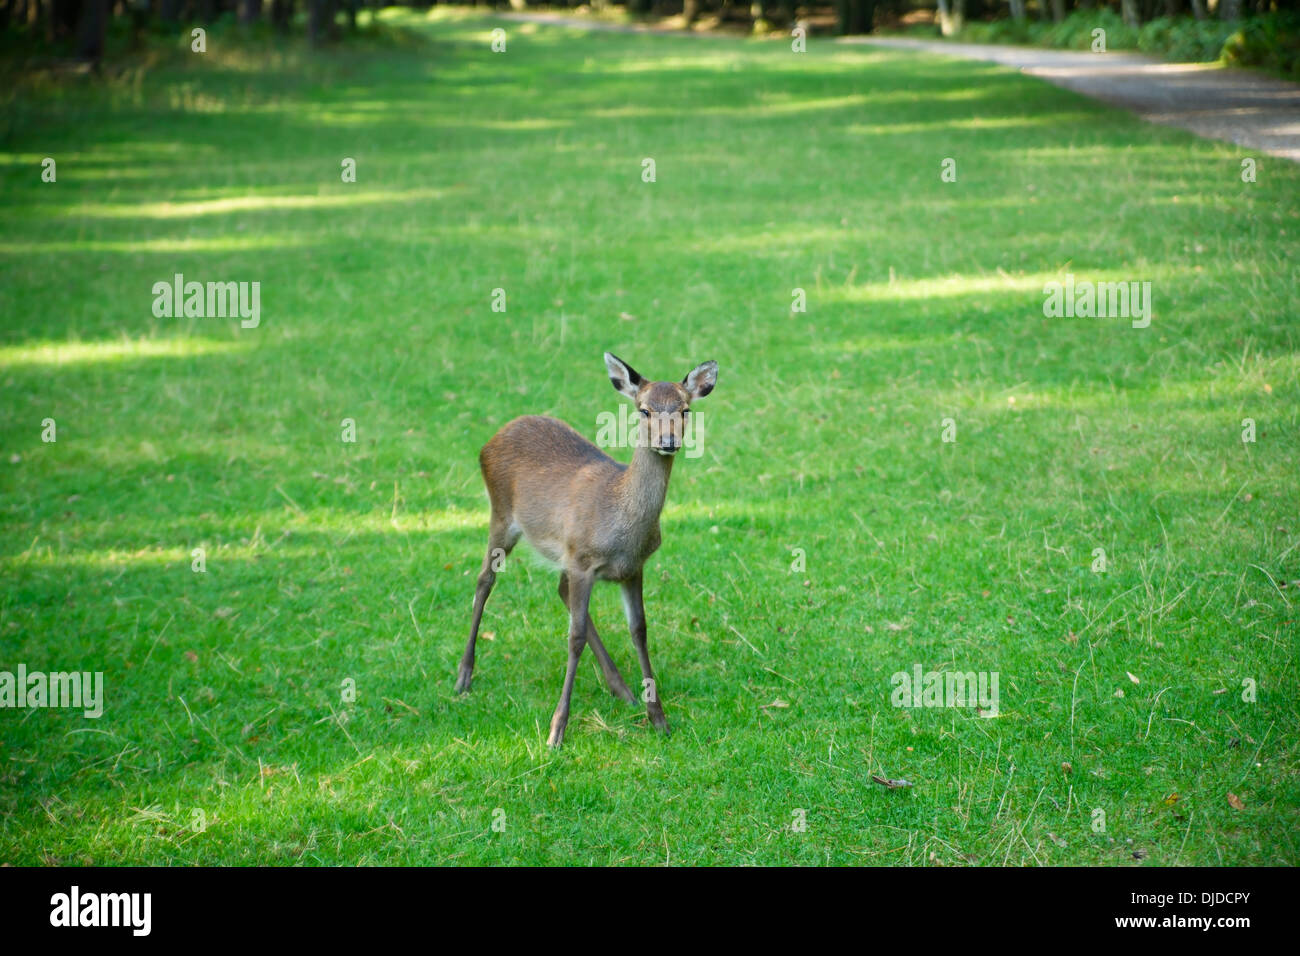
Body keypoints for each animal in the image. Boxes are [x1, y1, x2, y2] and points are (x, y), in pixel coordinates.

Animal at [454, 353, 719, 748]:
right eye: (643, 409)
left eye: (685, 409)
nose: (668, 441)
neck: (621, 527)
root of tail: (495, 436)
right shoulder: (582, 559)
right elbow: (574, 638)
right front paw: (556, 731)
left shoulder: (632, 568)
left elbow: (639, 630)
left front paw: (658, 718)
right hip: (501, 514)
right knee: (484, 579)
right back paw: (463, 677)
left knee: (559, 588)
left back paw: (621, 689)